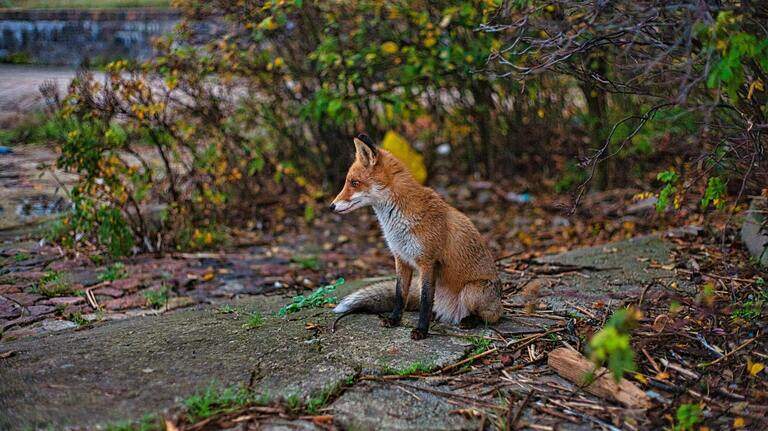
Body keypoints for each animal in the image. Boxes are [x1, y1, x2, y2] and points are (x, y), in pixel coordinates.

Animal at [329, 133, 503, 340]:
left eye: (354, 183)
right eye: (348, 182)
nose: (331, 206)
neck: (397, 222)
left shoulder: (427, 262)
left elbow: (425, 300)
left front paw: (421, 330)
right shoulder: (401, 258)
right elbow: (400, 294)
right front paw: (394, 320)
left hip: (472, 292)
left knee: (488, 317)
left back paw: (468, 320)